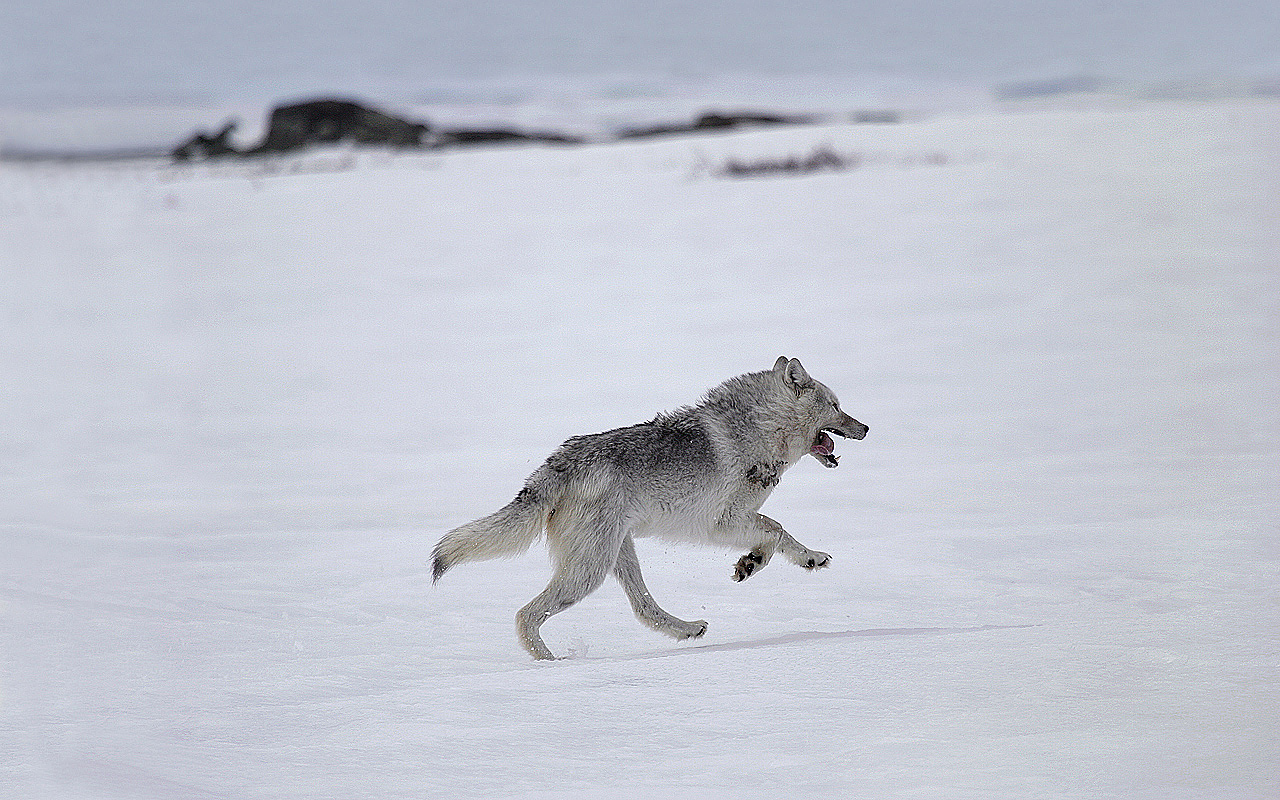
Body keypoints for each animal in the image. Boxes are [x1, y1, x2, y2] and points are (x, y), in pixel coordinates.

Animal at [431, 357, 868, 660]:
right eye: (836, 406)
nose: (865, 427)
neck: (761, 429)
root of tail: (557, 464)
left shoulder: (733, 522)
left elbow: (779, 538)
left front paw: (790, 560)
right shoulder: (721, 522)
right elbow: (776, 530)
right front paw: (763, 561)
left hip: (615, 555)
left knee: (643, 608)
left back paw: (689, 630)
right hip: (590, 571)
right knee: (526, 615)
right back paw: (552, 664)